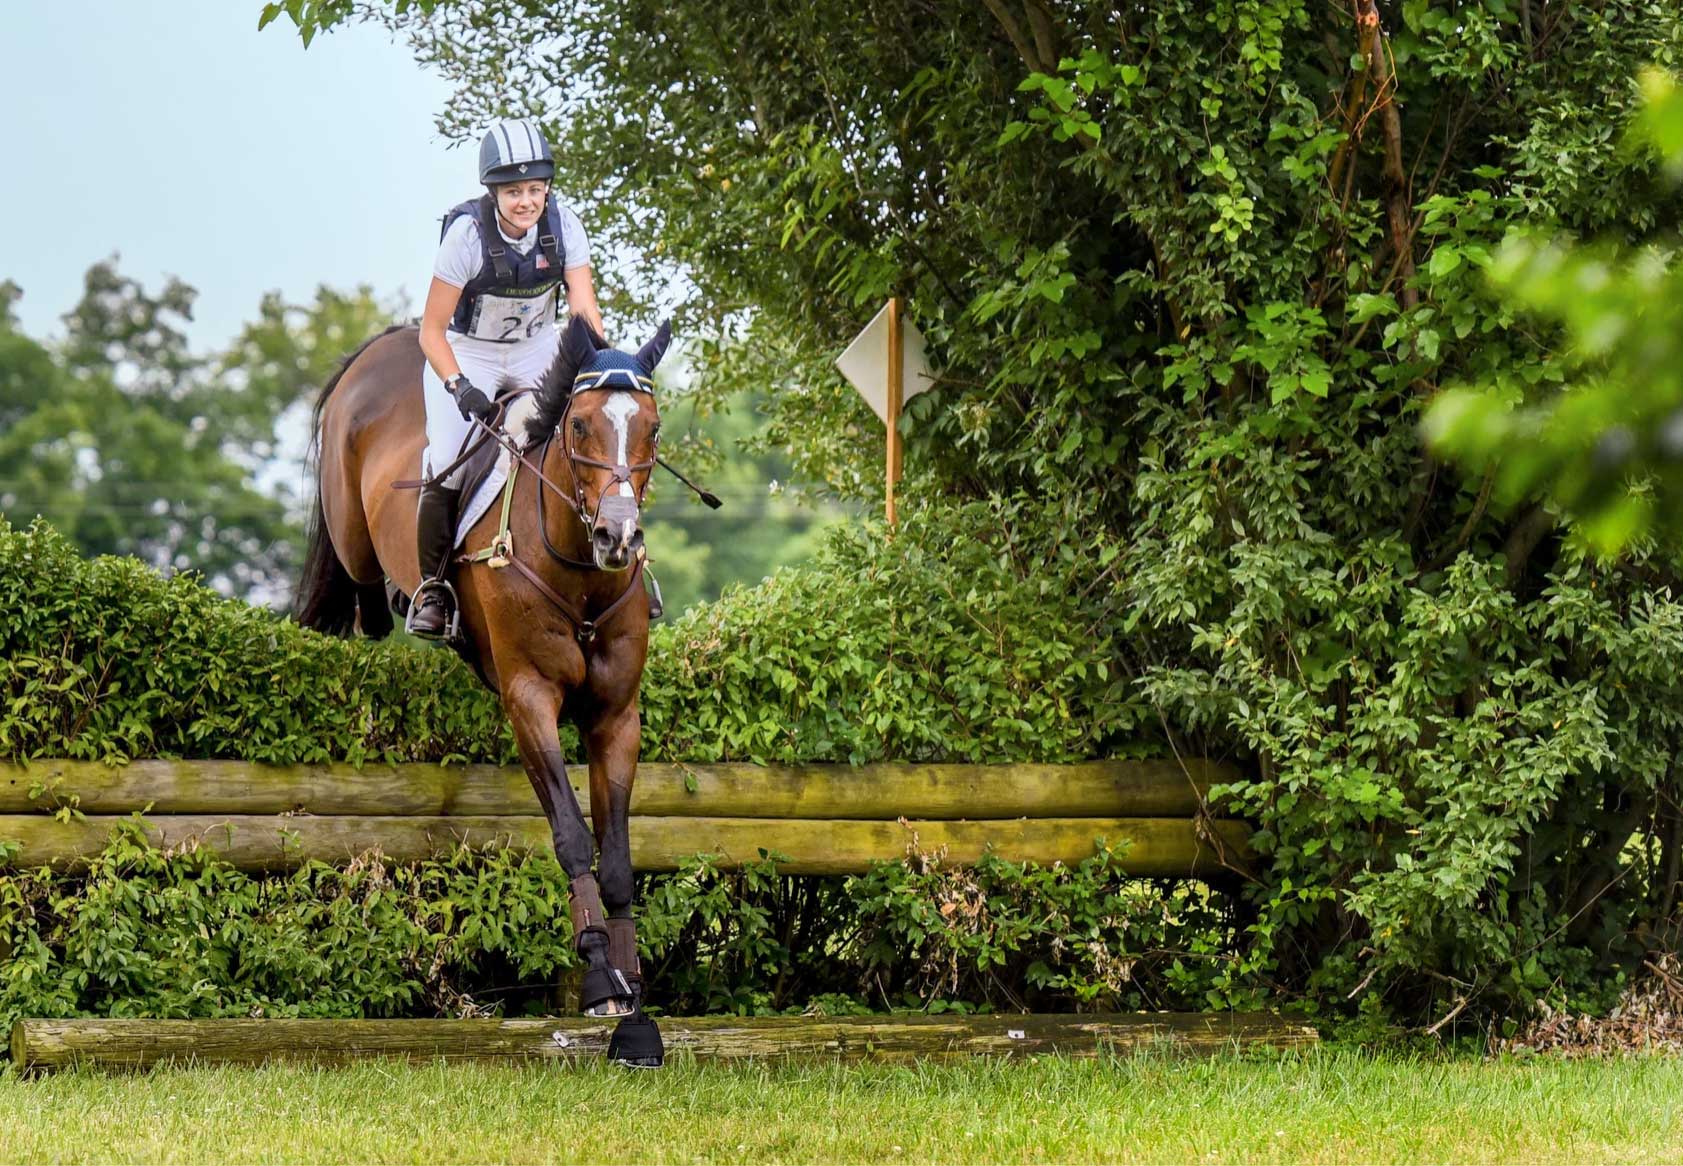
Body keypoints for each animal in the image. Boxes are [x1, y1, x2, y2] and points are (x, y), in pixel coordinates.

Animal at [295, 313, 671, 1067]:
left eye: (651, 428)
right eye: (579, 425)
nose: (618, 536)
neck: (579, 571)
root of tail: (384, 343)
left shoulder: (616, 717)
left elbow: (617, 856)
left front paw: (636, 1017)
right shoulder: (529, 701)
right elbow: (571, 836)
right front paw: (598, 976)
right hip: (351, 536)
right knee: (357, 589)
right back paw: (402, 609)